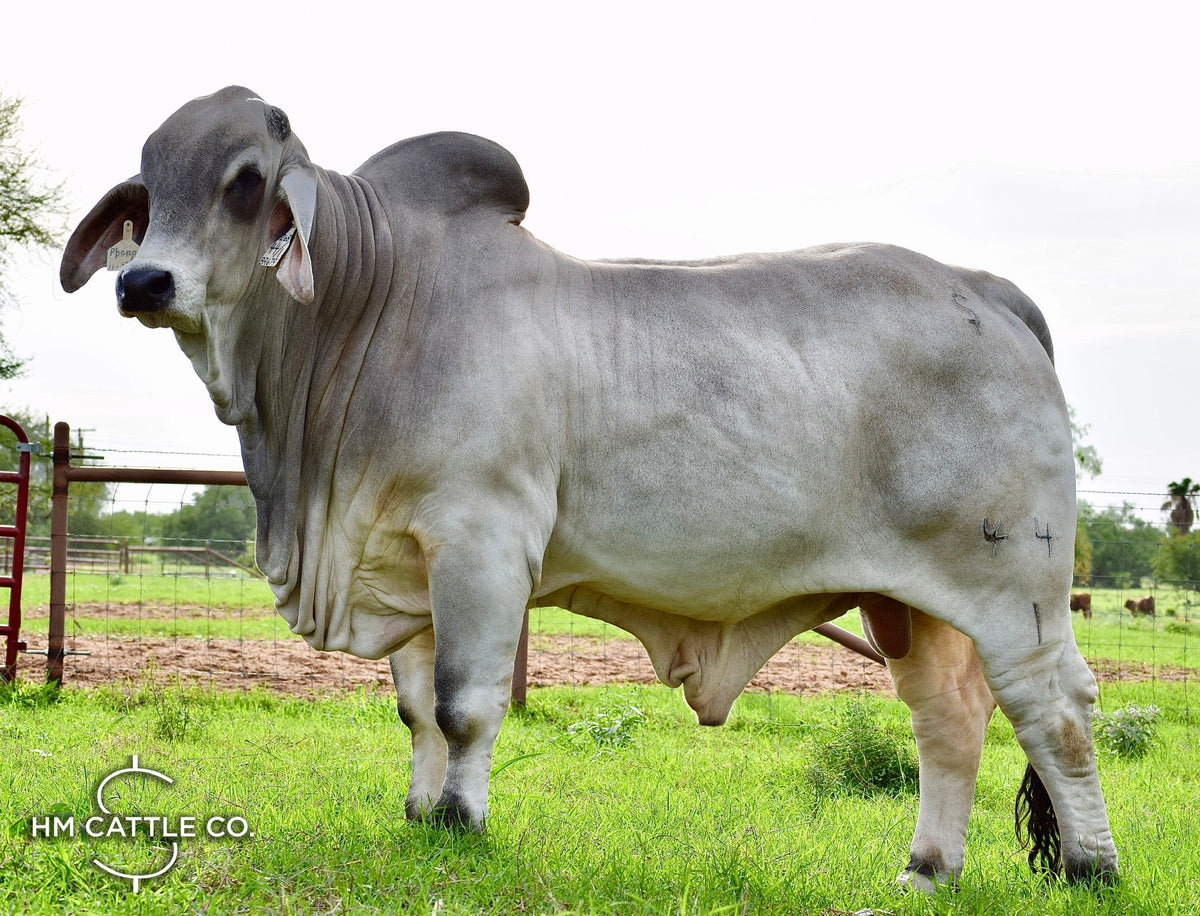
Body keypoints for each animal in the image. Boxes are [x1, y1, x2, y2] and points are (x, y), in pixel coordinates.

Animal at [59, 87, 1117, 889]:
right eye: (148, 189)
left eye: (245, 183)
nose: (143, 283)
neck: (373, 306)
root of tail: (988, 291)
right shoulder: (404, 556)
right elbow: (415, 708)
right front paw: (419, 811)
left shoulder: (482, 542)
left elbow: (464, 703)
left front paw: (461, 823)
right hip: (910, 602)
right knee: (949, 720)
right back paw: (925, 871)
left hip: (1015, 594)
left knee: (1056, 711)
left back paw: (1092, 866)